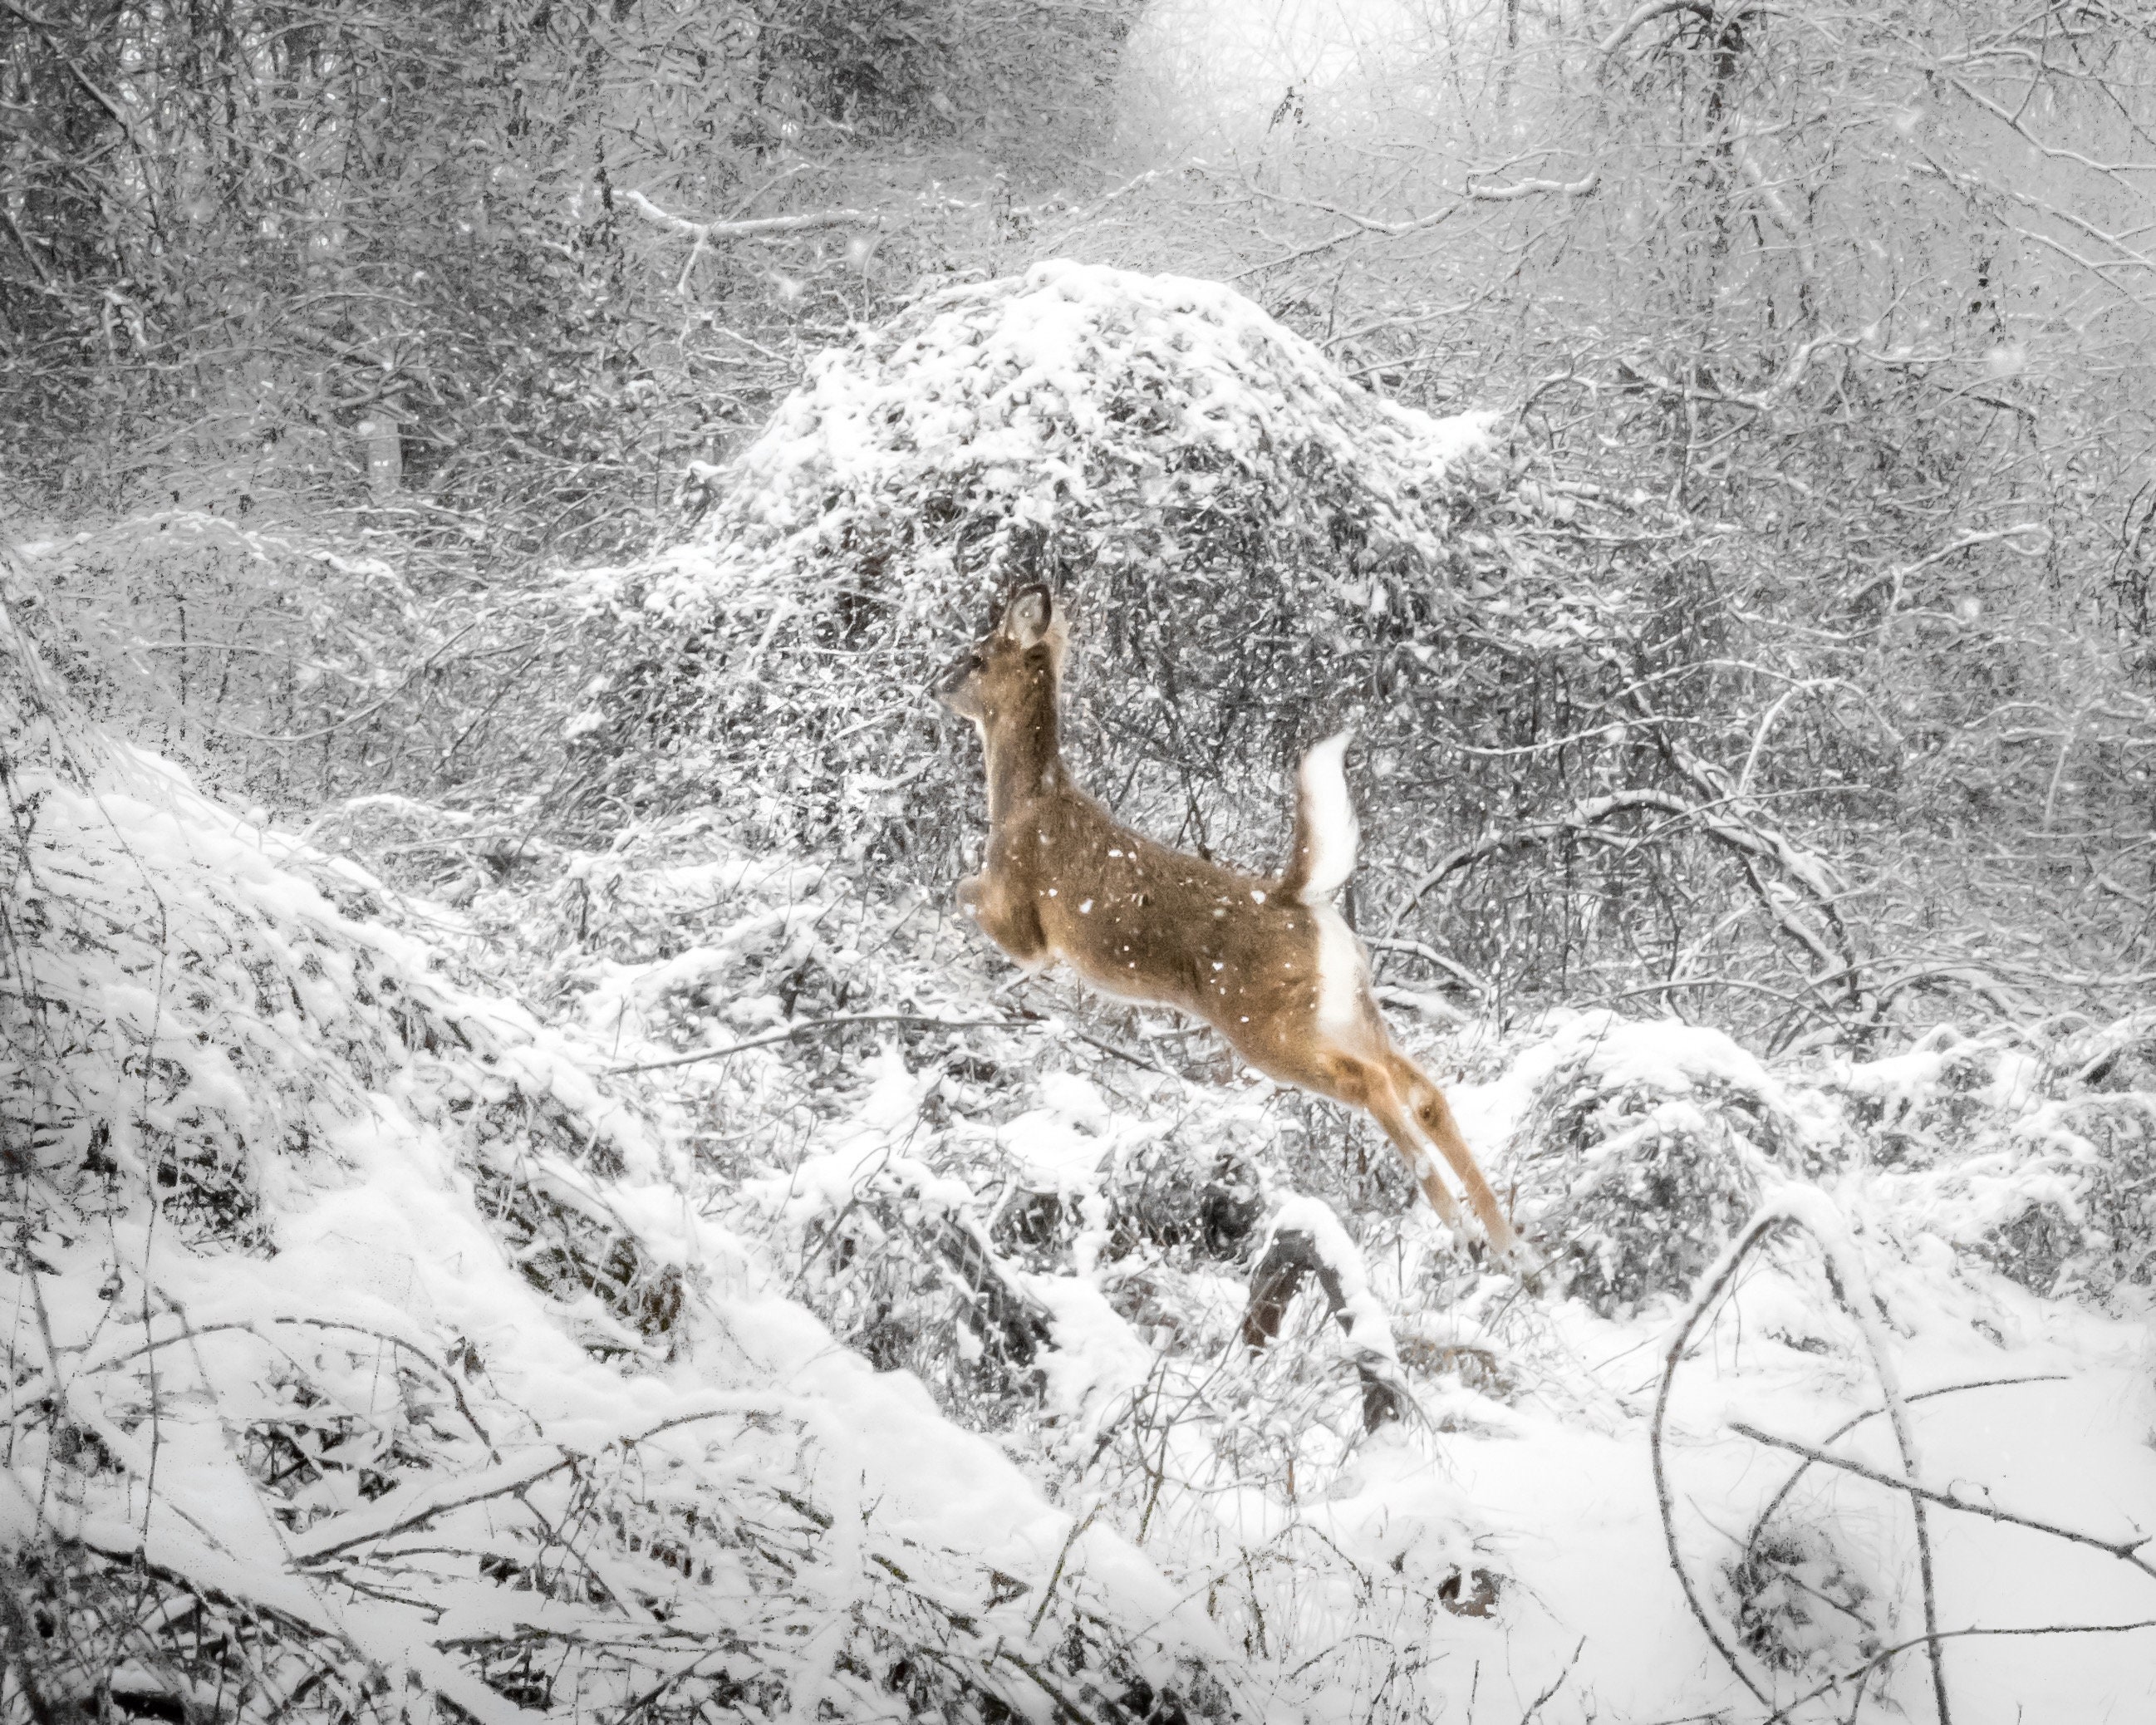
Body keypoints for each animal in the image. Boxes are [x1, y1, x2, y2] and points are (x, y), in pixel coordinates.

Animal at [934, 584, 1525, 1267]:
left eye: (976, 657)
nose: (938, 686)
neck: (1023, 803)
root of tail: (1297, 897)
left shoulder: (1027, 923)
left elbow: (960, 891)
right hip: (1350, 1007)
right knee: (1424, 1092)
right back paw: (1509, 1244)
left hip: (1262, 1023)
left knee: (1371, 1083)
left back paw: (1462, 1228)